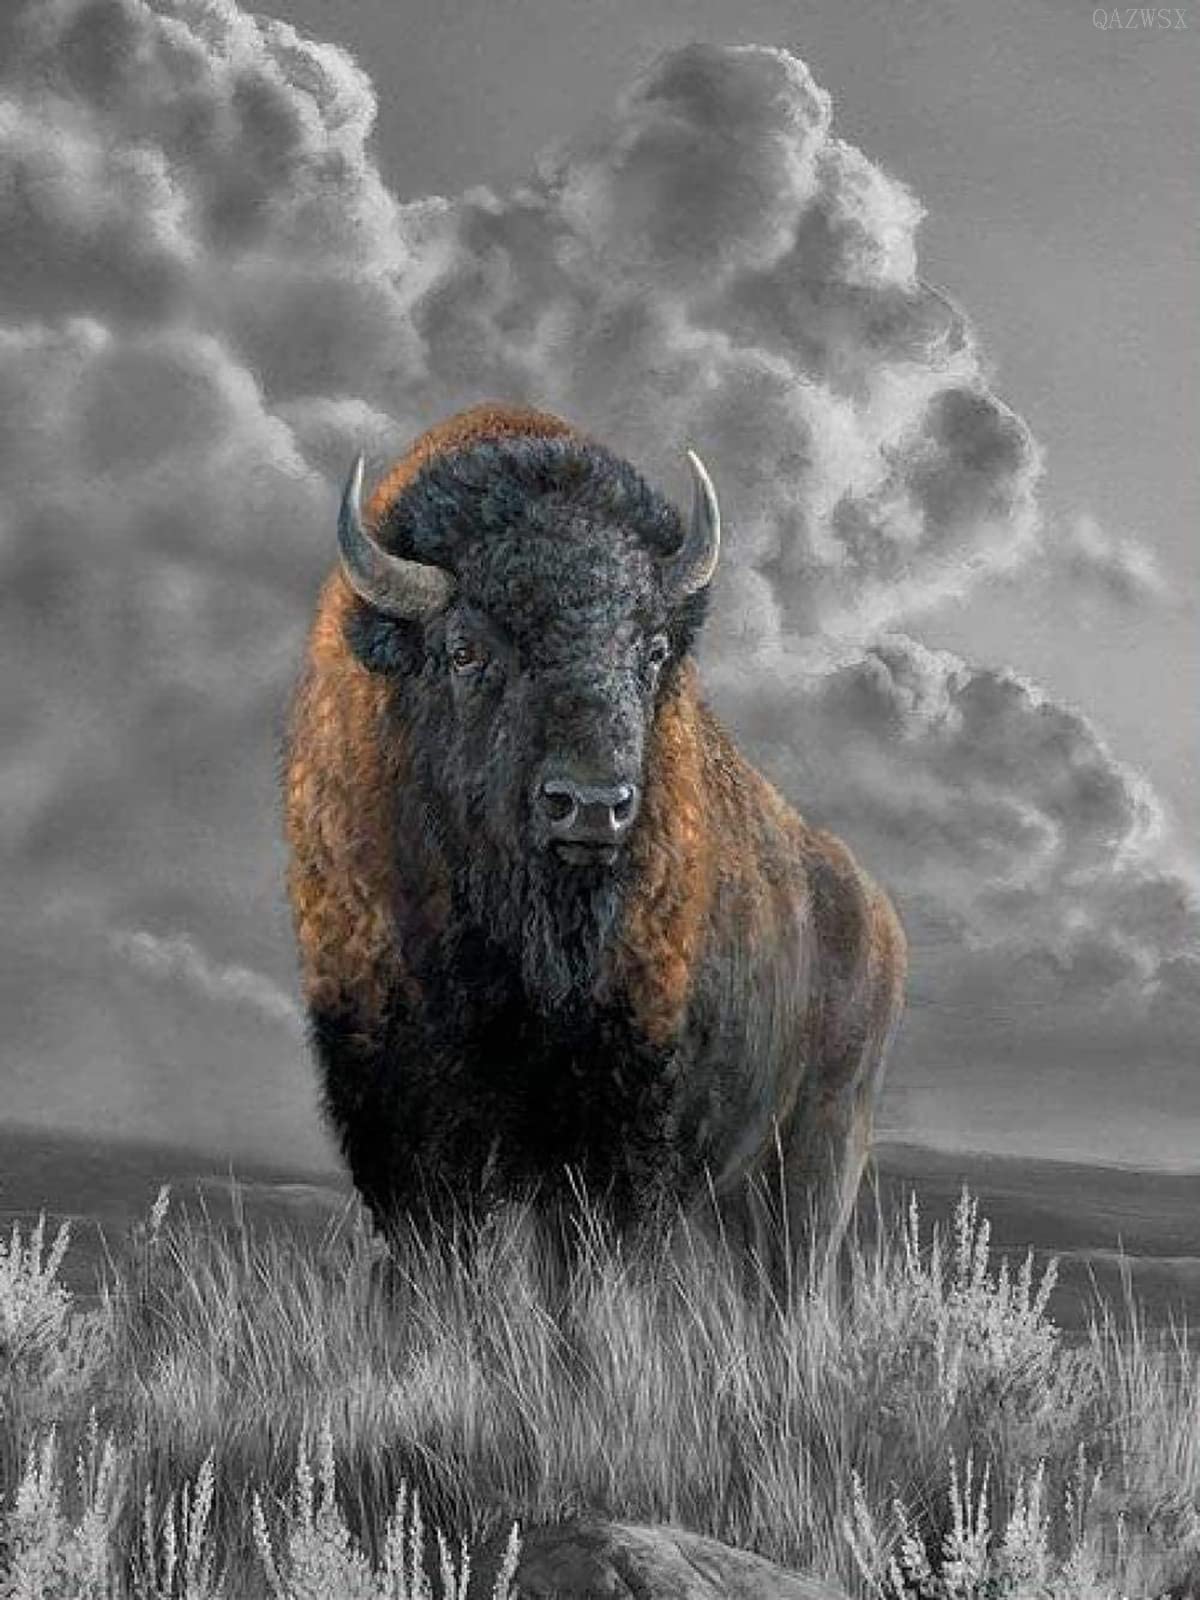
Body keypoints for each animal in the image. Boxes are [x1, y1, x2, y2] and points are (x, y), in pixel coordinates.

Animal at [284, 402, 905, 1268]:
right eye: (465, 648)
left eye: (652, 649)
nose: (590, 806)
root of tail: (873, 910)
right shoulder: (404, 1136)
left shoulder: (610, 1149)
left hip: (817, 1161)